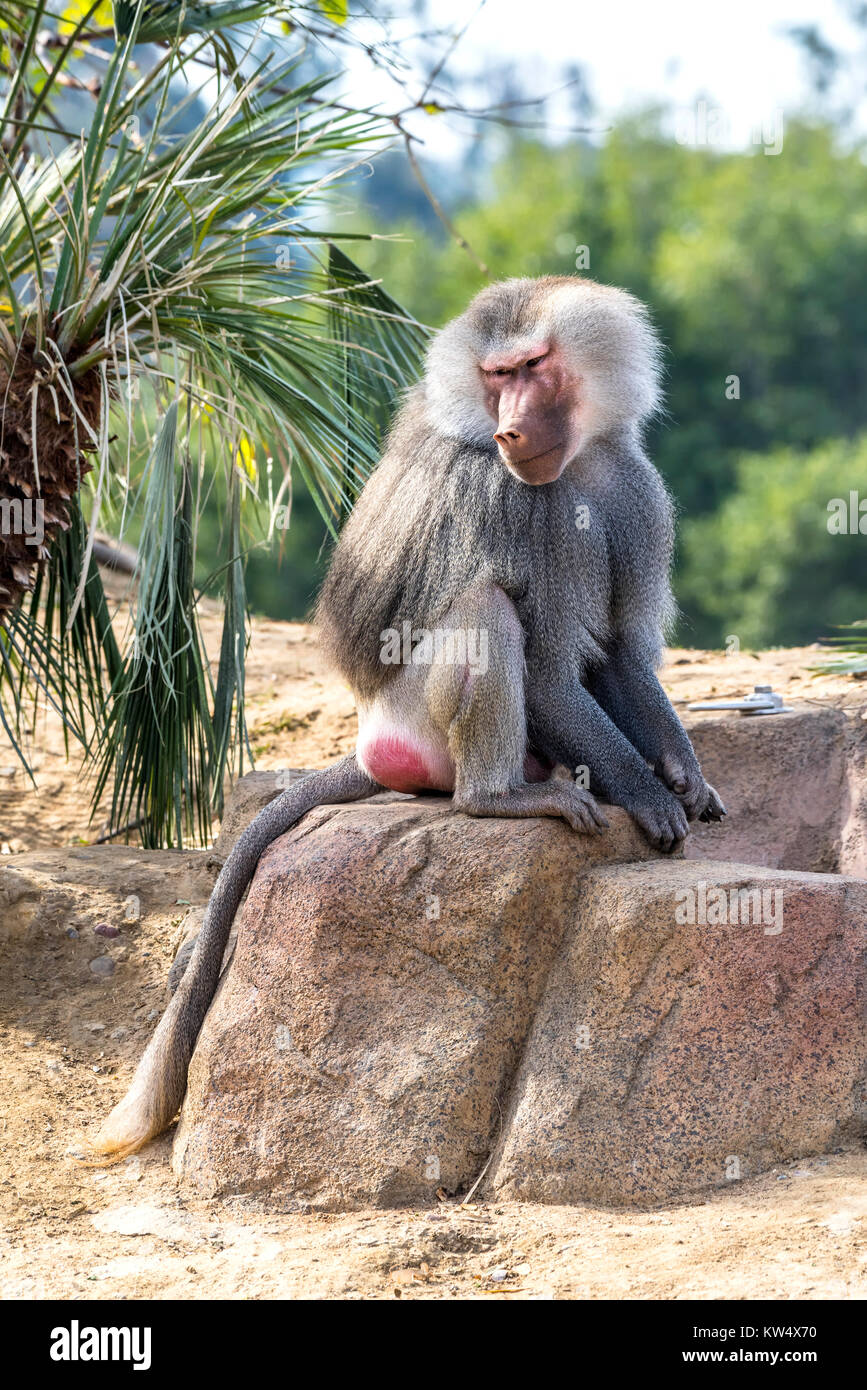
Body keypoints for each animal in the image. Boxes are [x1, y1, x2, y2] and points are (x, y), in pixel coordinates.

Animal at [90, 275, 724, 1158]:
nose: (509, 428)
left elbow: (621, 655)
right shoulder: (522, 505)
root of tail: (364, 743)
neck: (578, 459)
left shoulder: (630, 488)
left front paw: (684, 777)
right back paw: (501, 797)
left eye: (532, 367)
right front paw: (650, 797)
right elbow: (551, 670)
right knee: (487, 610)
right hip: (415, 715)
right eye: (496, 376)